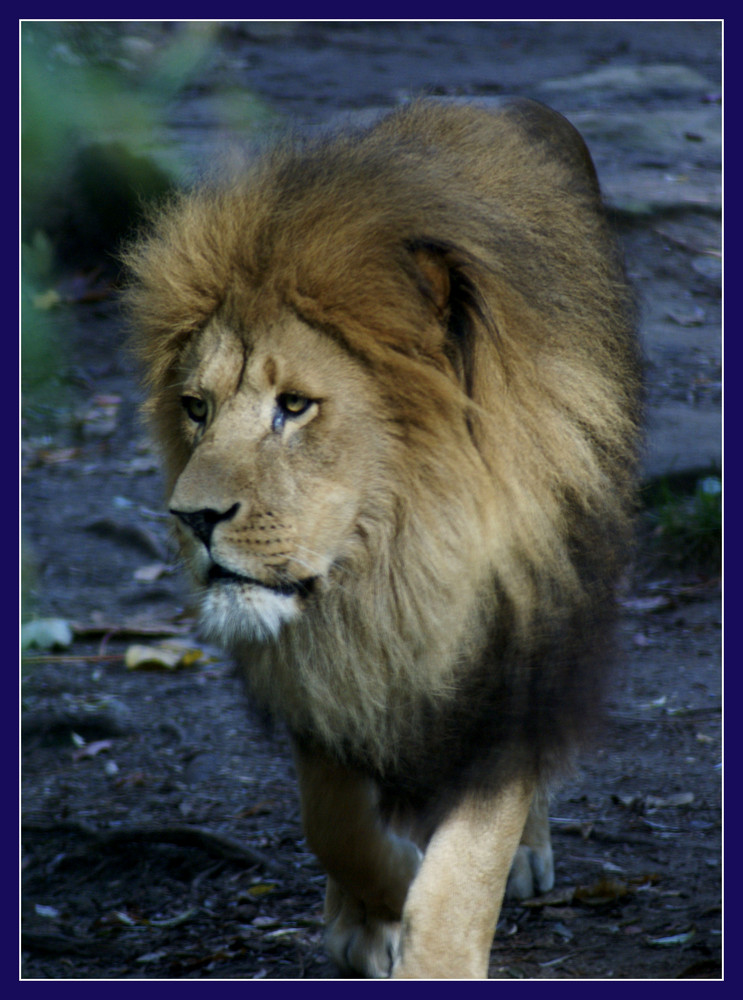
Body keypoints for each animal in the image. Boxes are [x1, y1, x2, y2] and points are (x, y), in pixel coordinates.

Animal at [124, 98, 641, 979]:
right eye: (196, 408)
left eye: (295, 406)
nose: (190, 518)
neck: (401, 560)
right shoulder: (324, 664)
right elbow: (333, 820)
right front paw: (376, 908)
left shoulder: (514, 649)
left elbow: (465, 866)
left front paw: (434, 950)